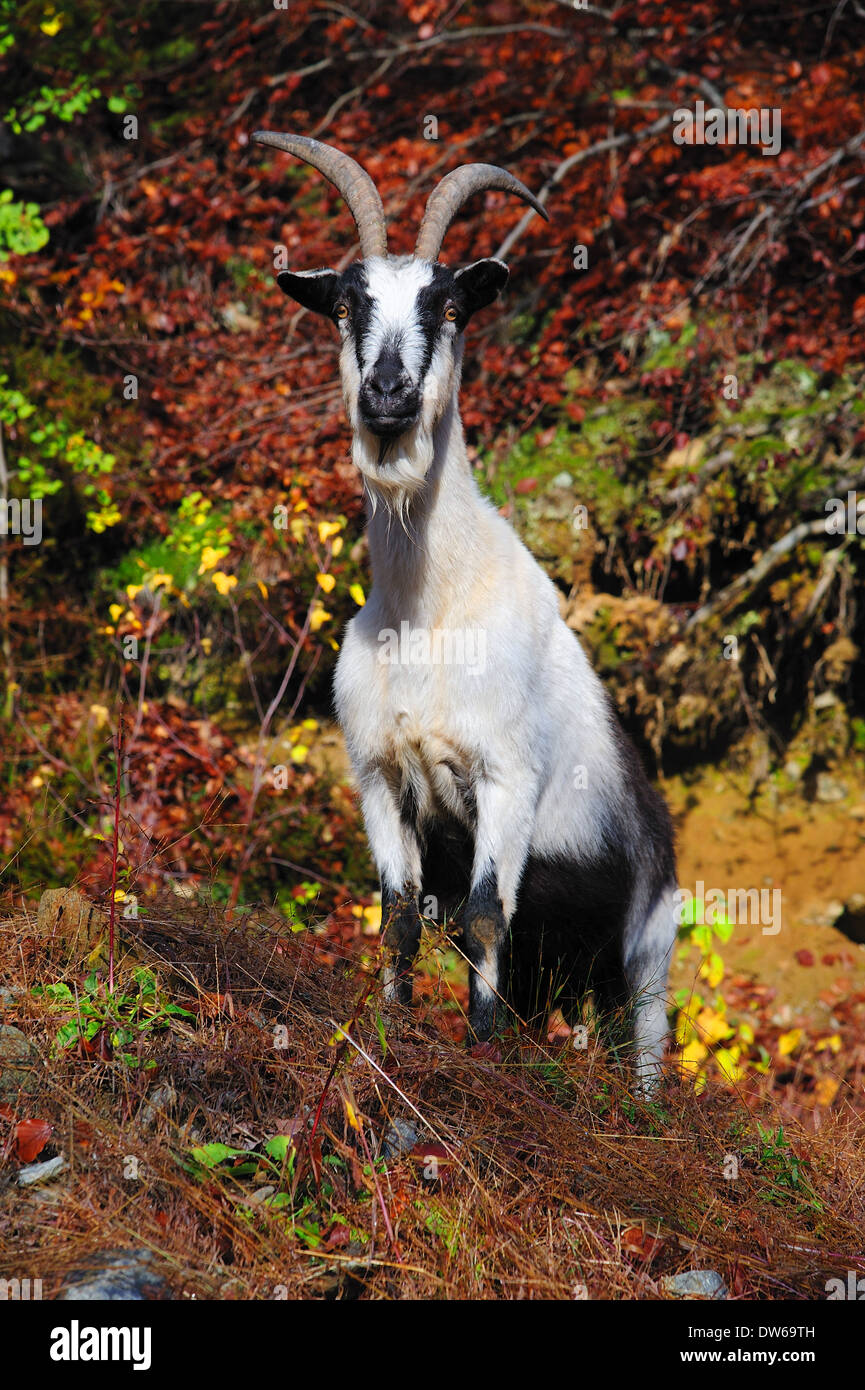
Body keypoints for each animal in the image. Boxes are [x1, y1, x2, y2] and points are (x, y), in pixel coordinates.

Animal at [254, 132, 677, 1088]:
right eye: (345, 305)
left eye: (448, 307)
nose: (387, 395)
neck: (429, 610)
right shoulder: (379, 774)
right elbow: (400, 914)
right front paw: (390, 1027)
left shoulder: (506, 779)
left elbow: (485, 913)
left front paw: (479, 1054)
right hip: (573, 969)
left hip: (650, 952)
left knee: (641, 1040)